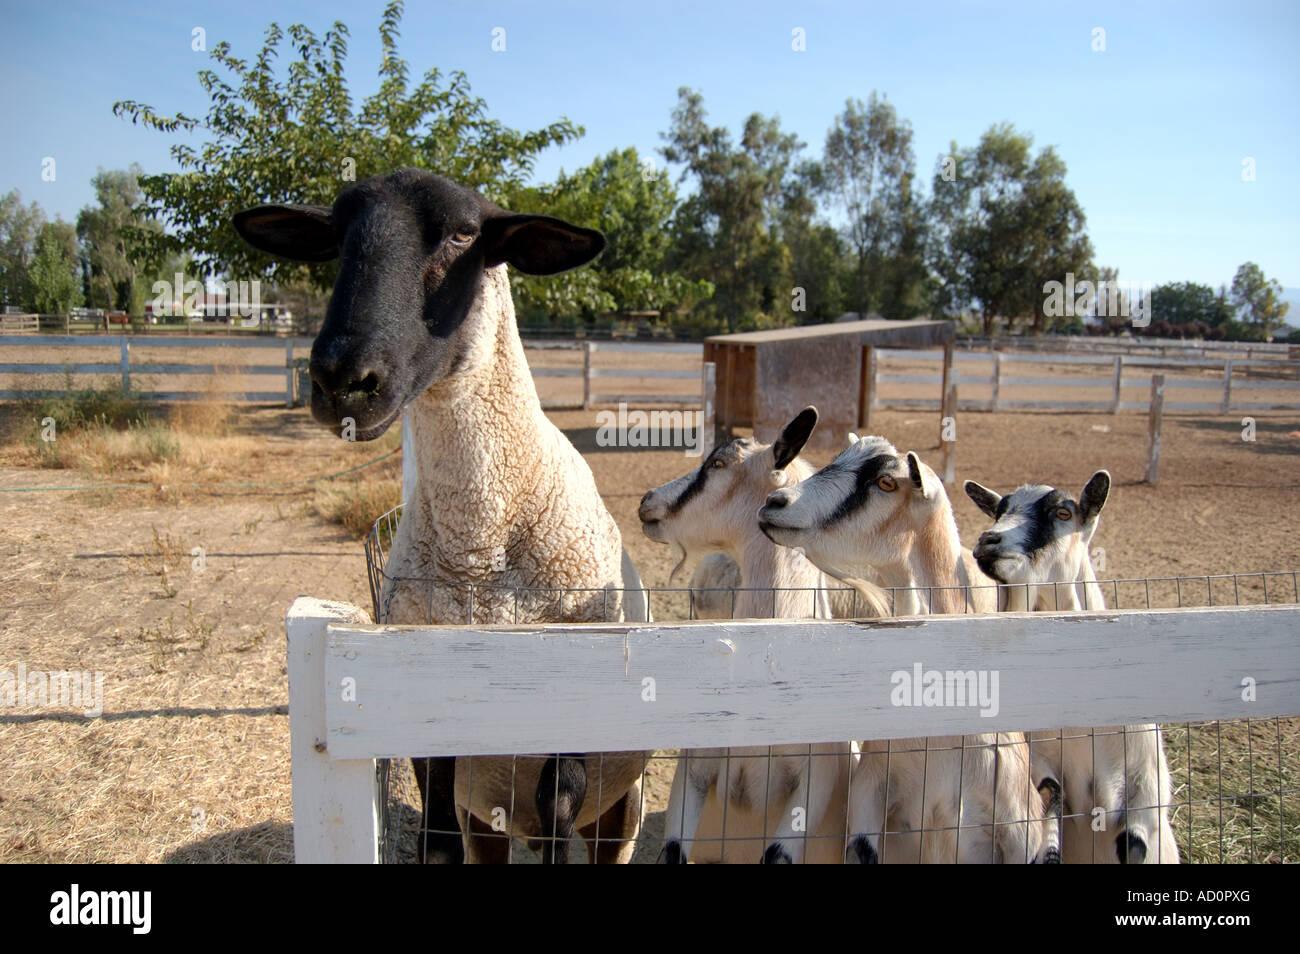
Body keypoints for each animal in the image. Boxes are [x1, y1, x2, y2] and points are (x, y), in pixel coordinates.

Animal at [234, 168, 648, 864]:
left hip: (622, 809)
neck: (479, 551)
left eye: (463, 233)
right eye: (337, 236)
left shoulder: (572, 720)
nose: (342, 380)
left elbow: (559, 832)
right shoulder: (429, 719)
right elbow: (436, 842)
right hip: (488, 815)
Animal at [963, 472, 1180, 864]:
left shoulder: (1147, 787)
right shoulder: (1042, 766)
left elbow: (1135, 843)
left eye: (1064, 513)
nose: (989, 541)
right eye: (999, 510)